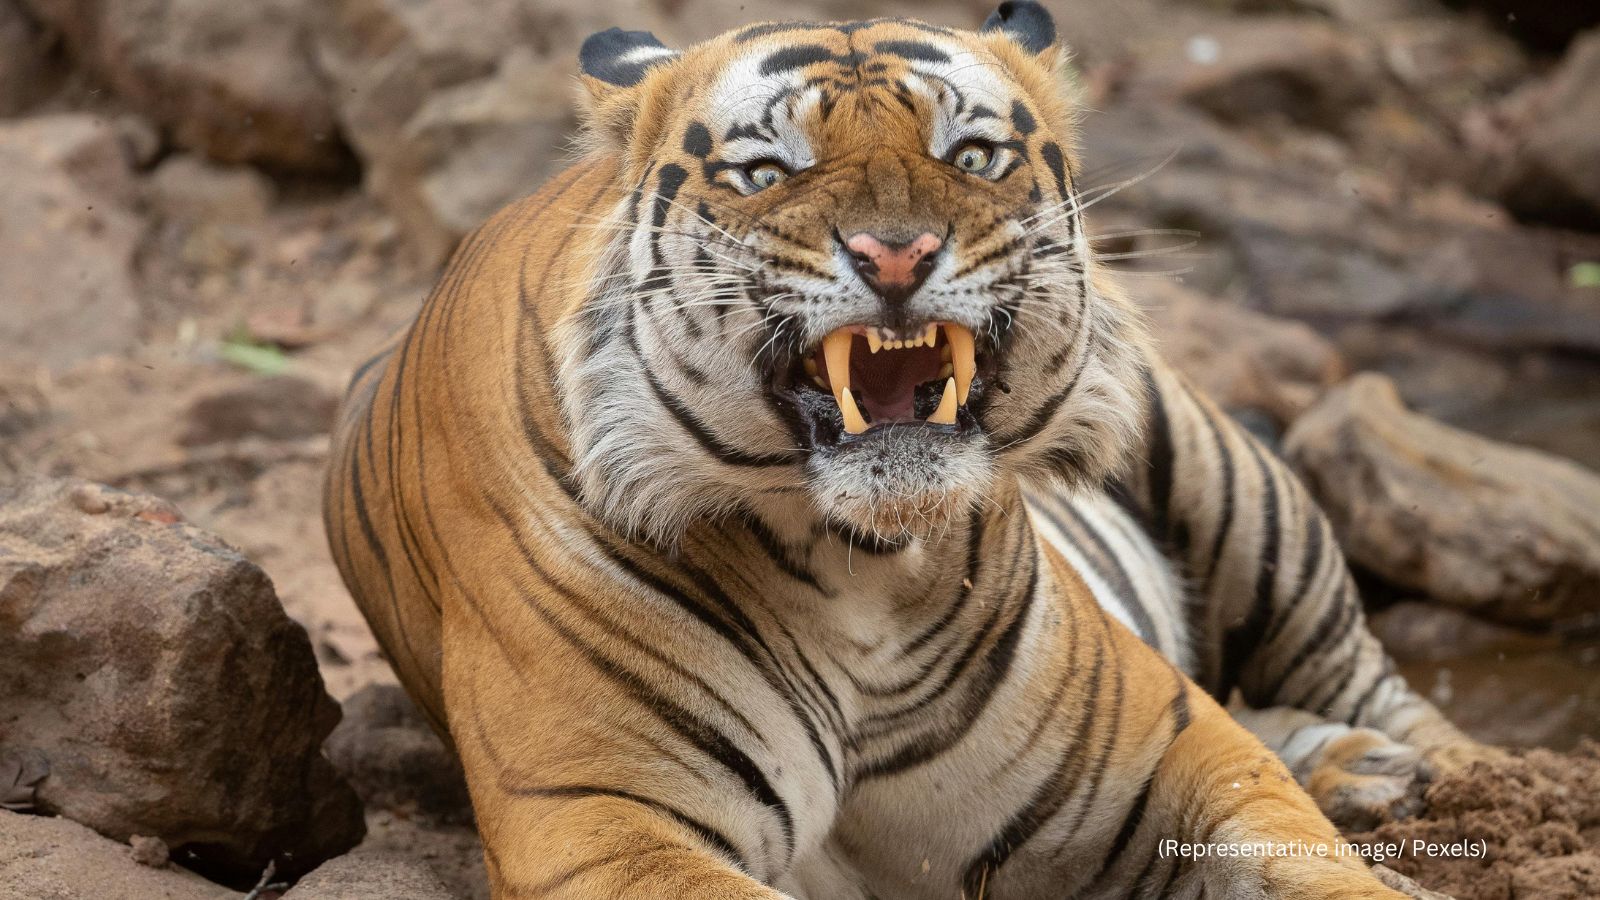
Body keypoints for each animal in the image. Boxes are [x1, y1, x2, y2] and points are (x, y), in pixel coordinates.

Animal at [323, 3, 1491, 897]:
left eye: (968, 156)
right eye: (765, 172)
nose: (897, 253)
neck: (859, 570)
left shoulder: (1174, 745)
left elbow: (1304, 858)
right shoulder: (602, 822)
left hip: (1234, 489)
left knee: (1376, 684)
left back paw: (1443, 779)